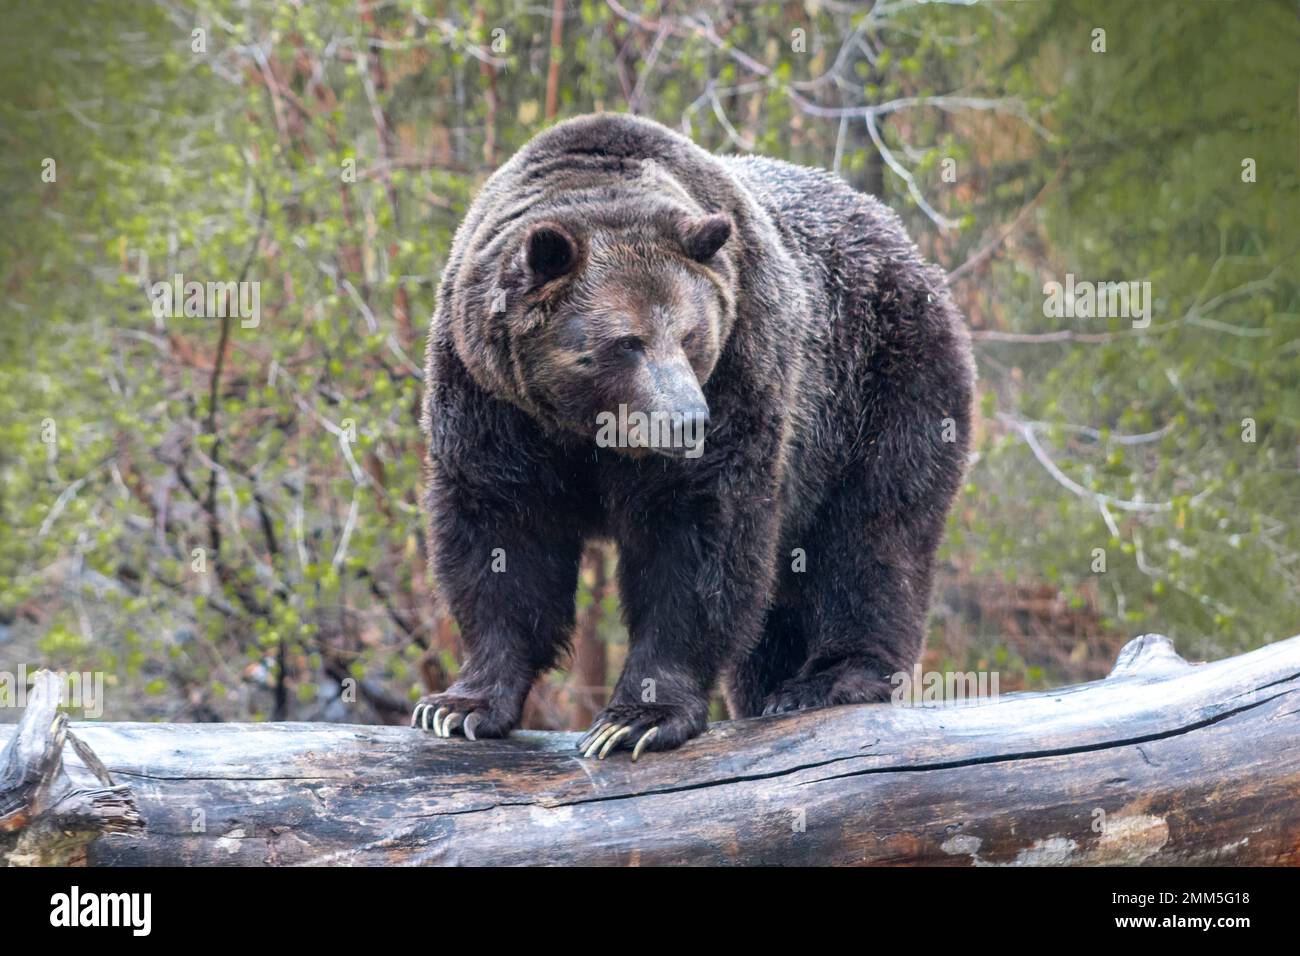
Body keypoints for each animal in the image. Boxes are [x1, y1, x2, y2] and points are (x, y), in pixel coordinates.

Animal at [414, 113, 974, 760]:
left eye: (690, 336)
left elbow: (699, 540)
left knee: (874, 530)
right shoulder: (490, 398)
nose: (686, 419)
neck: (584, 429)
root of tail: (901, 239)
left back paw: (828, 678)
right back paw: (769, 687)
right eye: (626, 342)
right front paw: (460, 705)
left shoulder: (742, 366)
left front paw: (636, 718)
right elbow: (501, 533)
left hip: (882, 382)